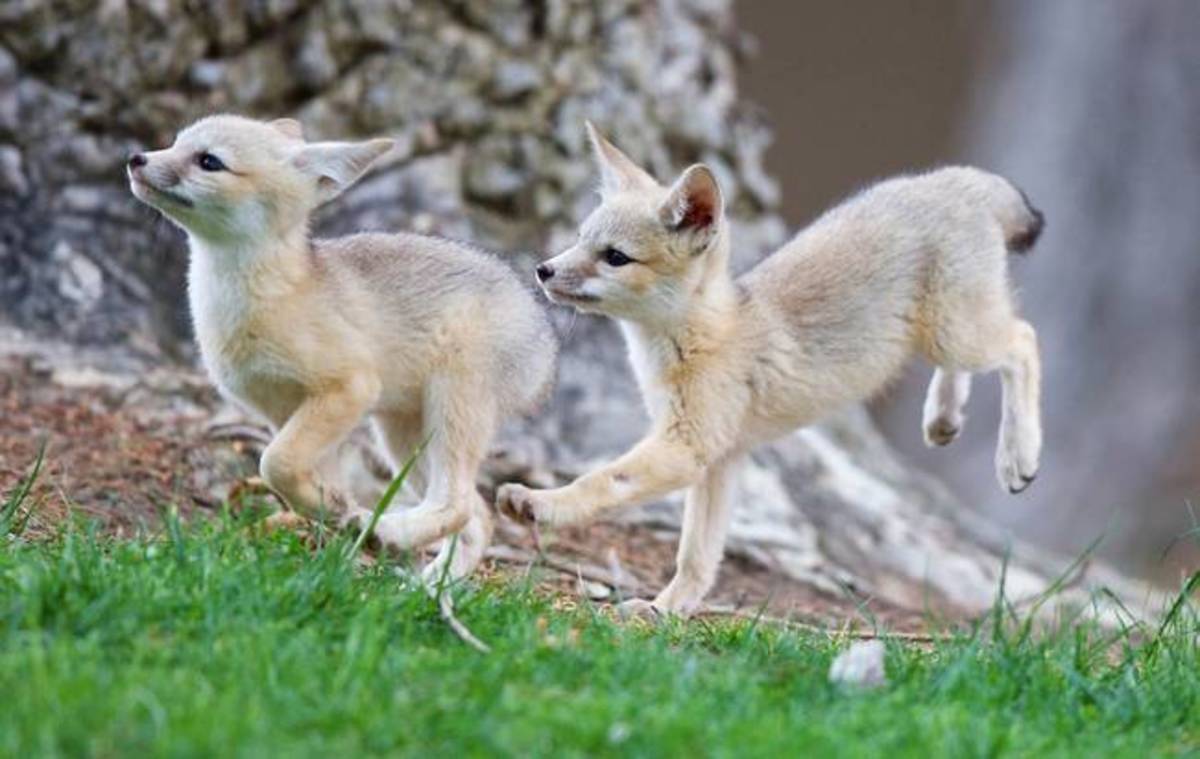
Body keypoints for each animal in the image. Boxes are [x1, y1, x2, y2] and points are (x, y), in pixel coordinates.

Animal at [128, 114, 556, 581]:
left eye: (209, 161)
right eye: (174, 144)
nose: (135, 158)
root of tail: (539, 319)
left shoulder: (347, 388)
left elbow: (273, 463)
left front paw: (334, 513)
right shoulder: (285, 412)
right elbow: (298, 475)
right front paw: (328, 514)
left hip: (448, 413)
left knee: (457, 504)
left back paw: (389, 535)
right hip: (402, 438)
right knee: (477, 518)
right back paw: (426, 587)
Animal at [497, 122, 1044, 618]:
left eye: (614, 257)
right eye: (579, 238)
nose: (543, 270)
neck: (703, 338)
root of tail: (953, 179)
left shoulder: (687, 448)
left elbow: (603, 481)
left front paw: (541, 503)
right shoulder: (722, 460)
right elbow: (696, 557)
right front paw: (667, 609)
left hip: (958, 334)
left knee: (1024, 340)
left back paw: (1018, 455)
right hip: (946, 338)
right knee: (976, 360)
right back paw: (943, 417)